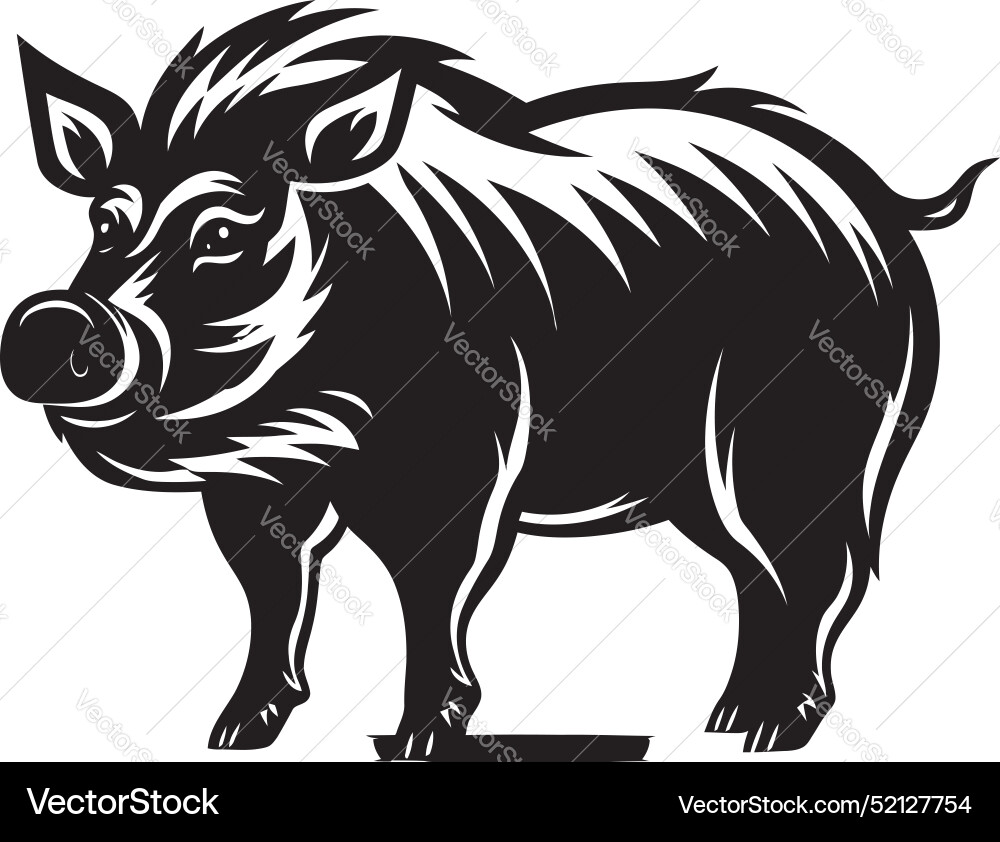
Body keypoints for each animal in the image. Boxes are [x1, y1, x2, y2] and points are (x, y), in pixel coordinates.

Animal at [2, 3, 992, 757]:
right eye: (104, 220)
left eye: (218, 232)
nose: (52, 321)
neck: (308, 416)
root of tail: (885, 207)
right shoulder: (249, 487)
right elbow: (272, 591)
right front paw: (235, 735)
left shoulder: (464, 465)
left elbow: (435, 590)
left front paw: (415, 741)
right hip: (696, 483)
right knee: (759, 577)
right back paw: (724, 722)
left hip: (798, 444)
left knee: (823, 570)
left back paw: (770, 734)